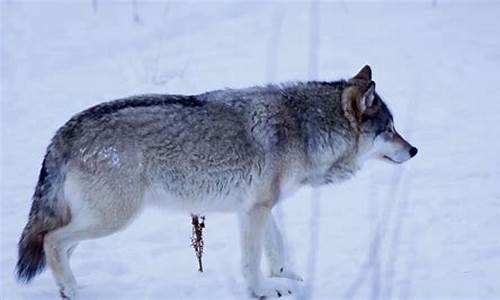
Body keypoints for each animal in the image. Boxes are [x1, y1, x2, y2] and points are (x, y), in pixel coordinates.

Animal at [15, 65, 418, 298]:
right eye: (390, 129)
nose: (414, 150)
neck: (304, 128)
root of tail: (64, 132)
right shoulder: (256, 210)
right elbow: (252, 261)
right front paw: (261, 291)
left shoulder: (256, 207)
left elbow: (277, 249)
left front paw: (288, 281)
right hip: (113, 220)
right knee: (51, 242)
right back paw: (73, 290)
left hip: (95, 221)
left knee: (56, 247)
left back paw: (70, 289)